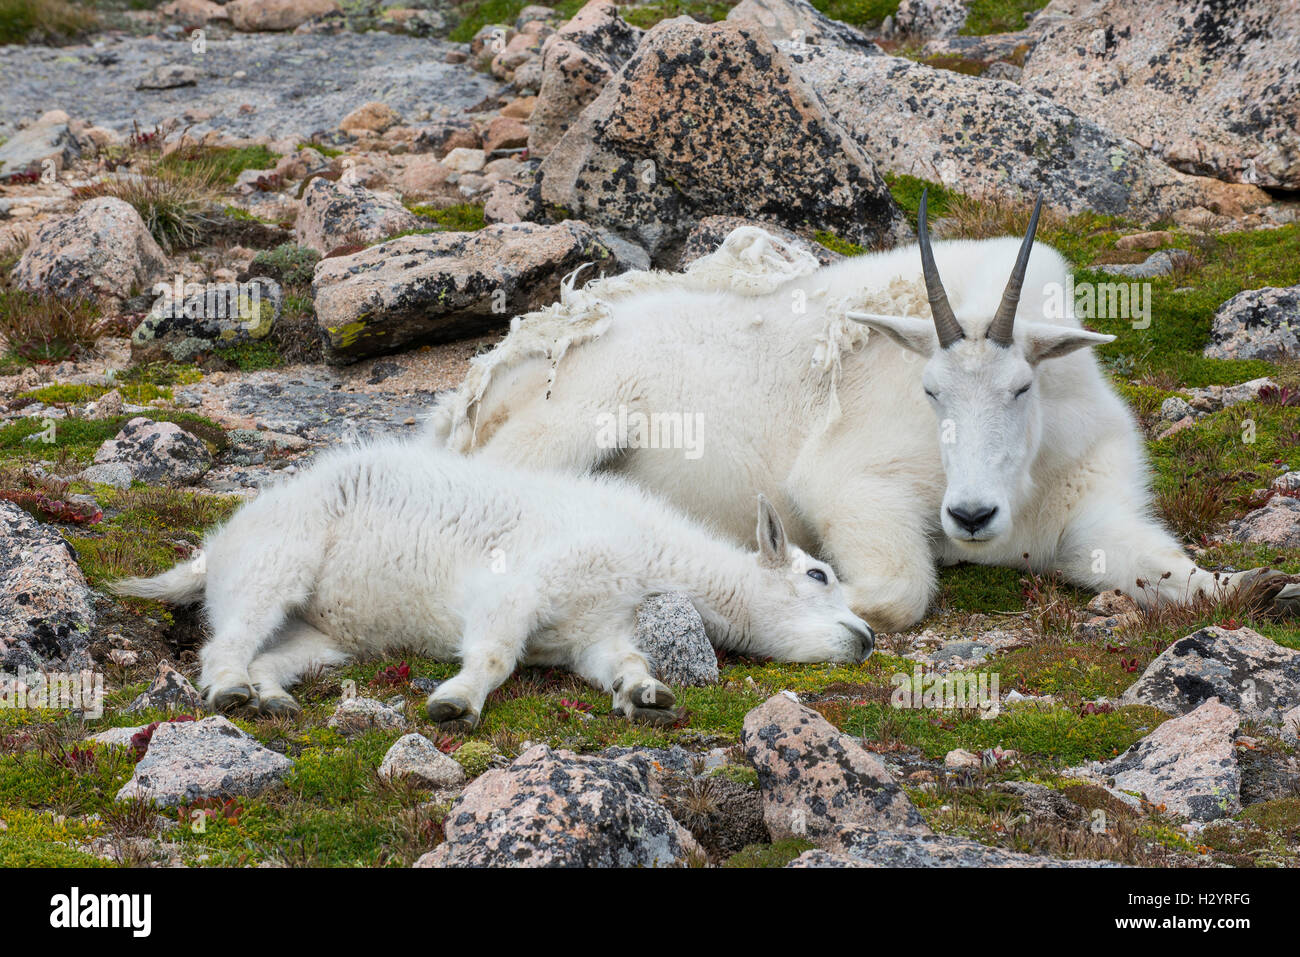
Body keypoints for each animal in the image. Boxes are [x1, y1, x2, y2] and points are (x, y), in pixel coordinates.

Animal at [111, 442, 873, 728]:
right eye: (817, 574)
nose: (865, 636)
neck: (651, 554)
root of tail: (214, 548)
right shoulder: (519, 586)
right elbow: (495, 654)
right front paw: (455, 702)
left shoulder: (594, 632)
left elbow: (623, 662)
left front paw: (646, 695)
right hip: (275, 562)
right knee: (226, 642)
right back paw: (231, 691)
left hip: (324, 636)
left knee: (276, 656)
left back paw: (272, 697)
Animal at [427, 193, 1297, 631]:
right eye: (930, 391)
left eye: (1021, 388)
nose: (971, 516)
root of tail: (487, 378)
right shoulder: (854, 486)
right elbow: (897, 591)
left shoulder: (1090, 514)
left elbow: (1175, 575)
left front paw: (1255, 585)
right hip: (568, 430)